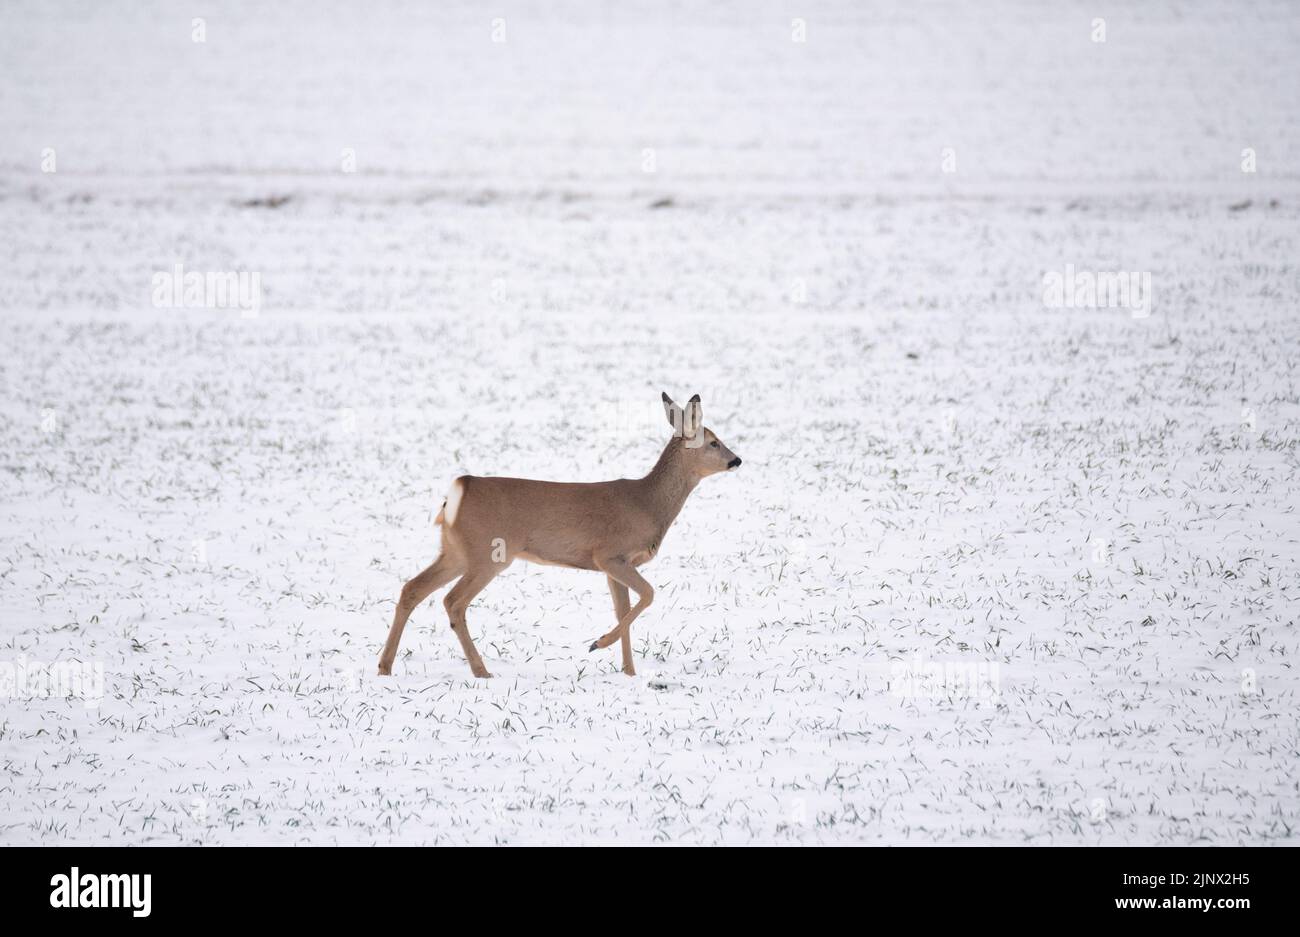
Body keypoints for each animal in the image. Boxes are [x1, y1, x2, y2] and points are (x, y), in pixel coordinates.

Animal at [377, 392, 742, 679]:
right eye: (713, 442)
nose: (736, 460)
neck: (648, 503)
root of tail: (459, 490)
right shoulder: (610, 555)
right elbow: (649, 595)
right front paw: (598, 644)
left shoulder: (613, 567)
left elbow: (623, 611)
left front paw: (628, 672)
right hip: (488, 553)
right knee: (453, 601)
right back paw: (481, 671)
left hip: (455, 551)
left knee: (412, 588)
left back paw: (385, 666)